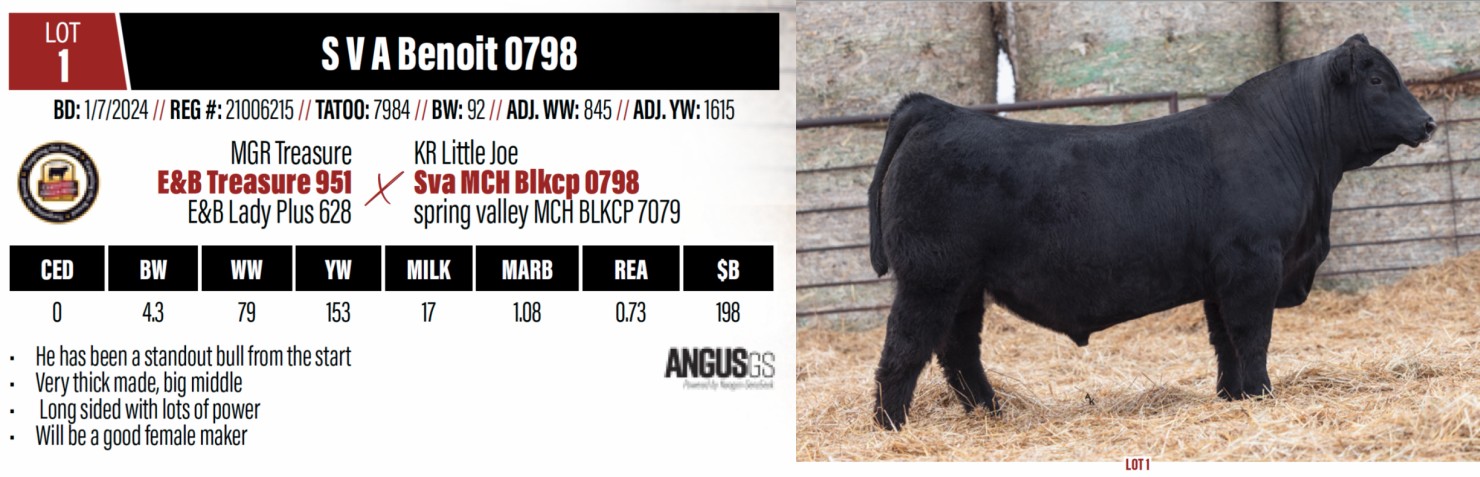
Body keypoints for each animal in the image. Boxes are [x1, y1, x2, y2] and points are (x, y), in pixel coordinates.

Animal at [866, 34, 1435, 430]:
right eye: (1377, 82)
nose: (1428, 122)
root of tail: (936, 110)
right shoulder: (1253, 263)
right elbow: (1252, 335)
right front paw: (1261, 395)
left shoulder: (1219, 276)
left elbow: (1224, 341)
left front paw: (1232, 396)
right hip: (930, 277)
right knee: (905, 350)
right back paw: (892, 426)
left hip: (964, 285)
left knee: (958, 352)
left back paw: (990, 414)